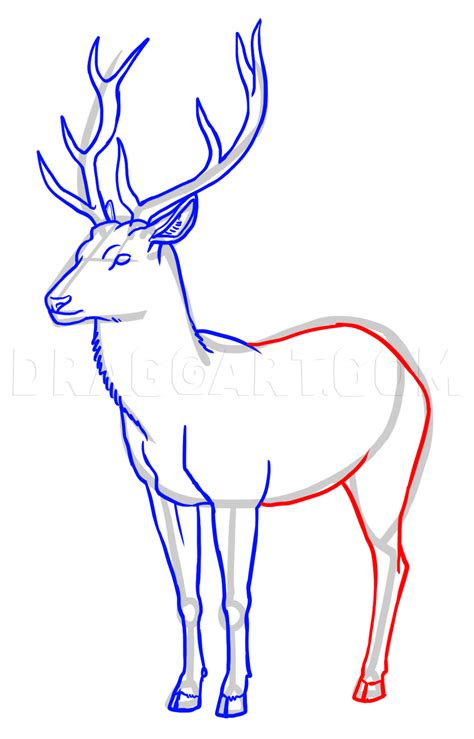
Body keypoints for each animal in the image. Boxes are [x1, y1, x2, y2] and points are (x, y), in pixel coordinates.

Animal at [38, 22, 432, 717]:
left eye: (122, 256)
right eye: (80, 247)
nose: (54, 300)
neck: (178, 412)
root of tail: (407, 364)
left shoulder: (242, 489)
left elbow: (235, 595)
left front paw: (233, 695)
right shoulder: (165, 492)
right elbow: (188, 593)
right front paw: (183, 691)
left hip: (392, 465)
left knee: (394, 556)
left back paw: (368, 684)